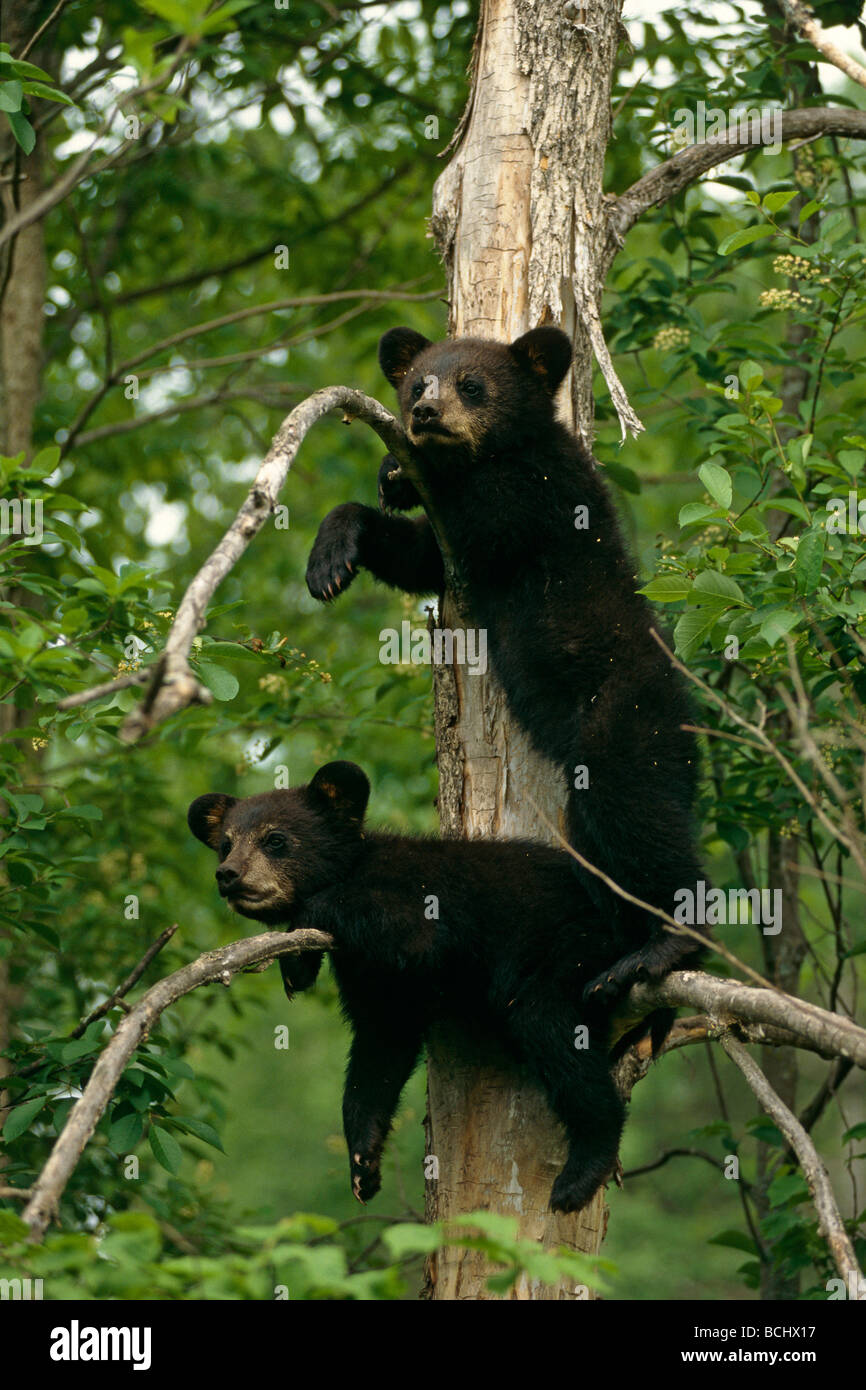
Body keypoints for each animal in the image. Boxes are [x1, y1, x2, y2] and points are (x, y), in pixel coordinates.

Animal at [188, 760, 633, 1214]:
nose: (228, 874)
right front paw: (363, 1164)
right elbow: (381, 1043)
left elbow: (413, 932)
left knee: (548, 1024)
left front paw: (297, 962)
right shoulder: (374, 975)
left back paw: (582, 1171)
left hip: (580, 941)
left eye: (275, 840)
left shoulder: (420, 900)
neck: (353, 865)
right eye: (225, 844)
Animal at [305, 326, 706, 1005]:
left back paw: (669, 944)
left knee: (638, 810)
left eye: (471, 385)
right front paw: (332, 556)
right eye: (417, 382)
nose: (425, 413)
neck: (508, 448)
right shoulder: (459, 558)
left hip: (623, 713)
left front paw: (403, 474)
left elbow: (484, 519)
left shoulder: (544, 491)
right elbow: (422, 556)